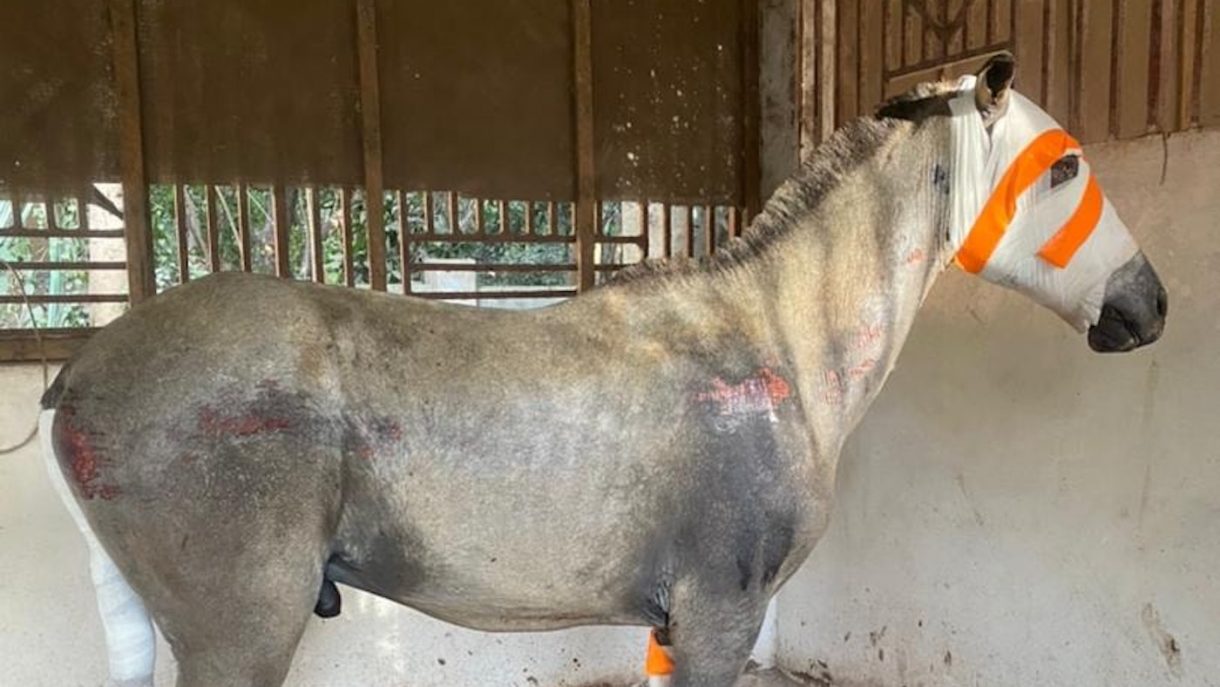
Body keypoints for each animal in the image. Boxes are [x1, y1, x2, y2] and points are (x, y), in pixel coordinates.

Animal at [41, 53, 1166, 687]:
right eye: (1065, 166)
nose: (1147, 305)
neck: (774, 341)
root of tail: (81, 368)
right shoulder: (719, 616)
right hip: (238, 637)